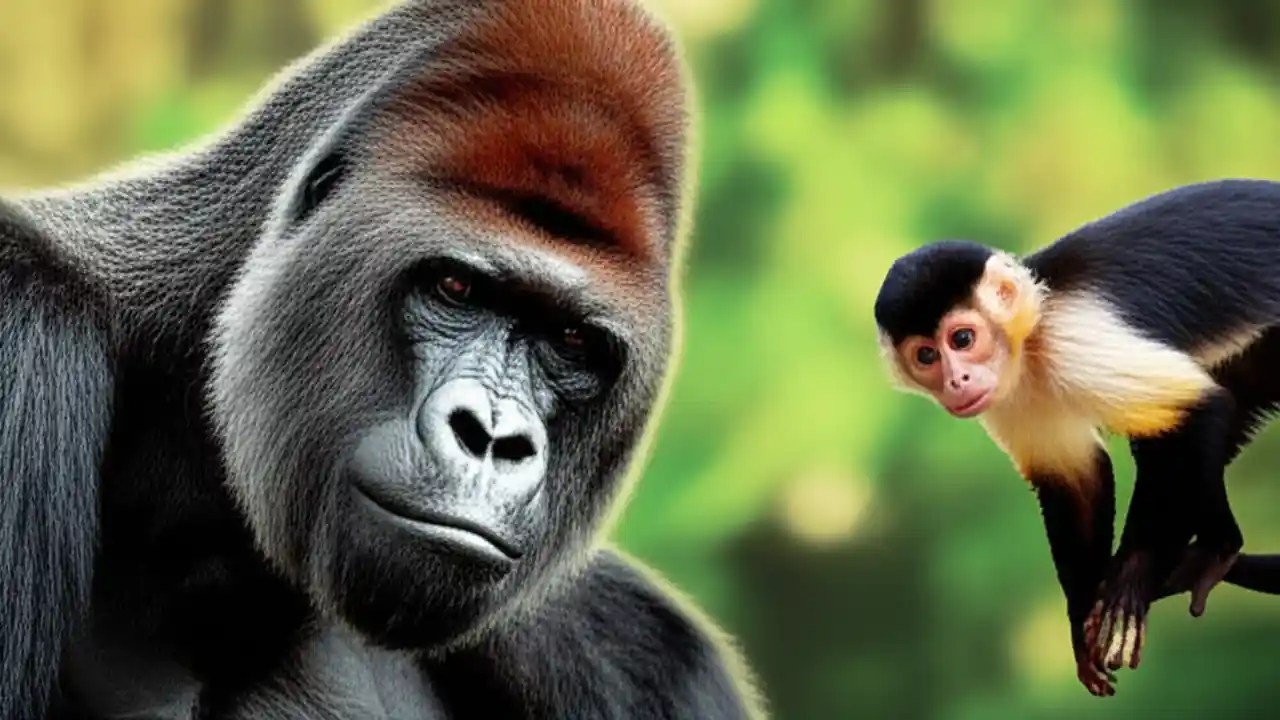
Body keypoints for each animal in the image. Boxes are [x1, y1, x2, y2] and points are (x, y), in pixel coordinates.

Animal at [873, 179, 1280, 697]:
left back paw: (1216, 549)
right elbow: (1076, 478)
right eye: (926, 356)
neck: (1033, 333)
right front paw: (1081, 621)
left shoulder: (1075, 342)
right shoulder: (1011, 395)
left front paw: (1129, 586)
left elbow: (1200, 407)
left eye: (962, 339)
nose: (956, 381)